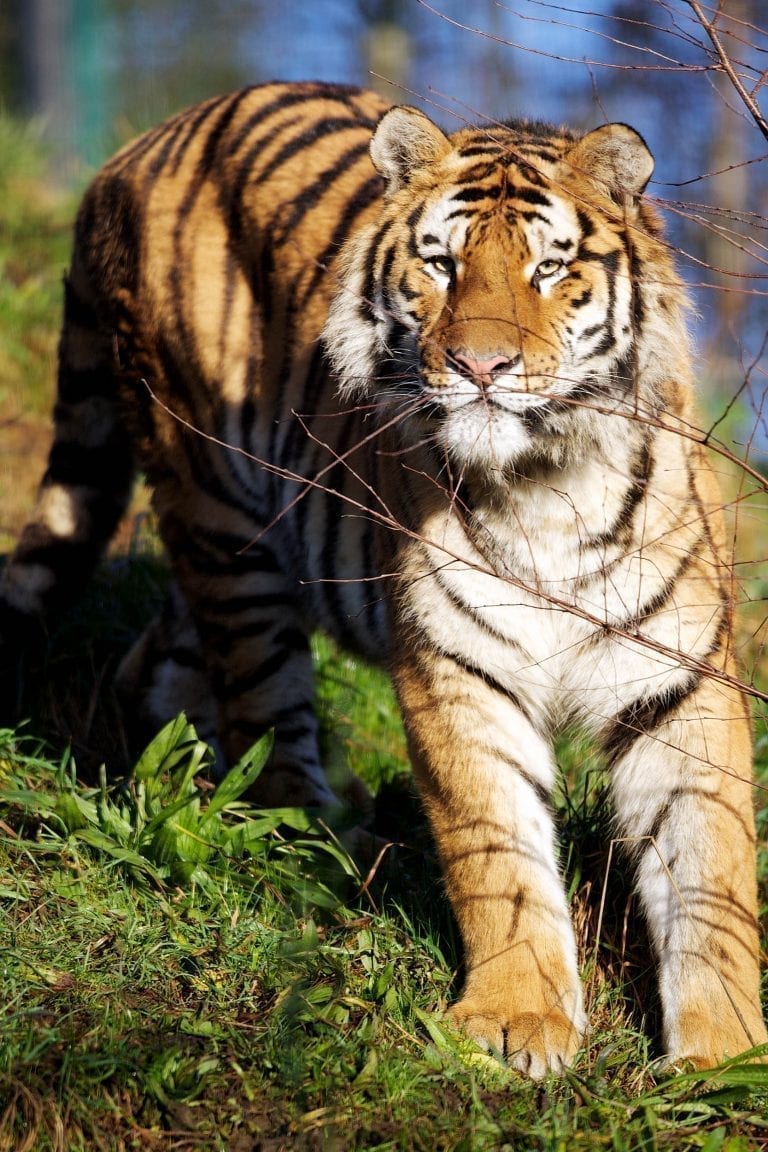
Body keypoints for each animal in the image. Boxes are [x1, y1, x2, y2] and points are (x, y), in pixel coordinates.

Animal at [1, 80, 766, 1078]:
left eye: (549, 269)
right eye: (441, 265)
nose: (482, 366)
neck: (548, 484)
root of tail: (133, 149)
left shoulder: (679, 680)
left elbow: (713, 872)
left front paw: (726, 1059)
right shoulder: (458, 668)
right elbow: (498, 853)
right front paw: (519, 1019)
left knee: (159, 661)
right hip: (223, 518)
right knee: (262, 715)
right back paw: (321, 836)